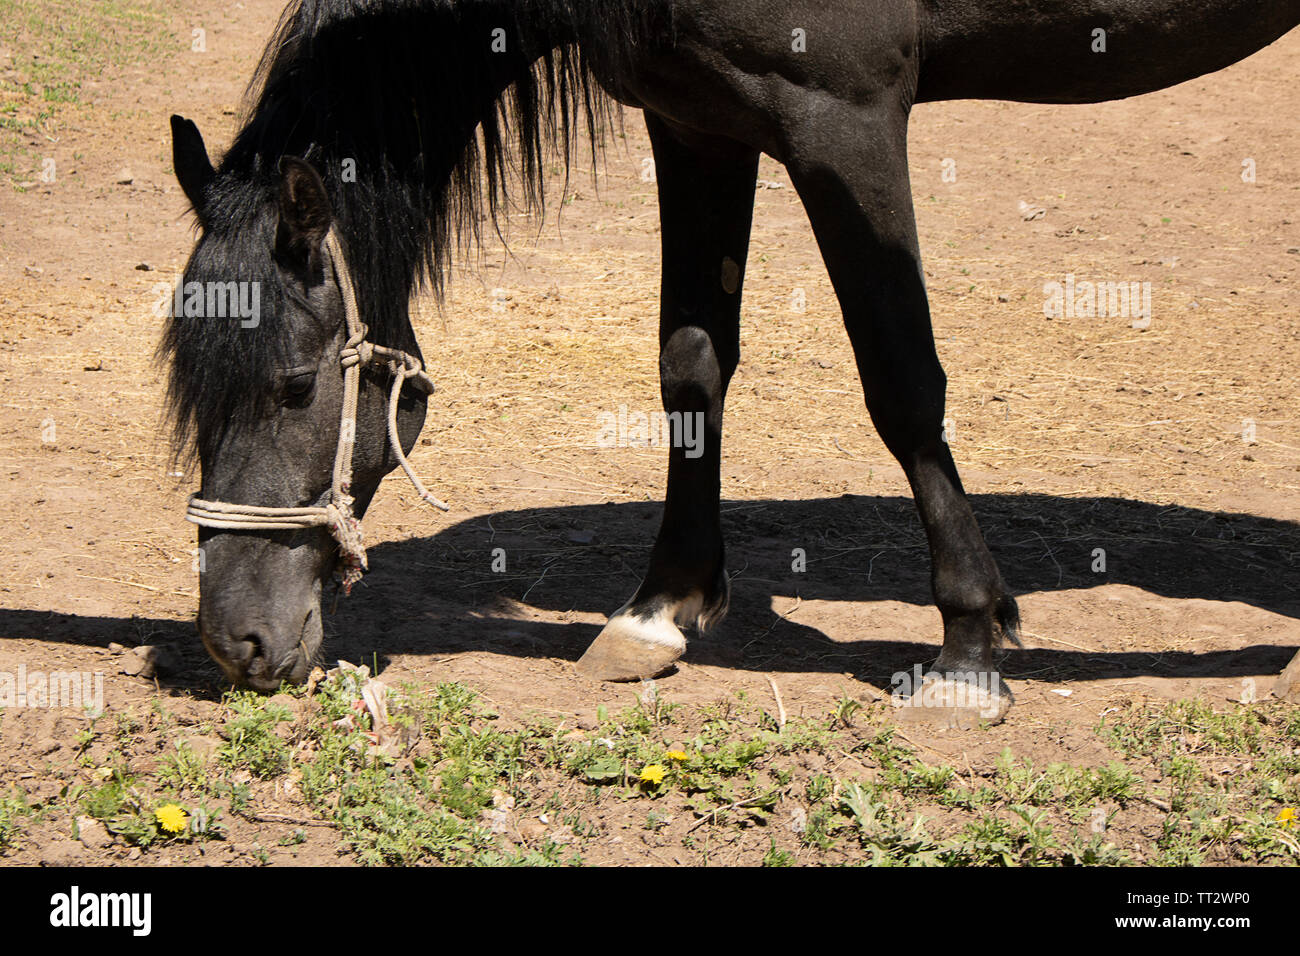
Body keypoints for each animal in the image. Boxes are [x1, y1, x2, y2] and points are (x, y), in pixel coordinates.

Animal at [163, 0, 1300, 712]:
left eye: (295, 385)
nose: (235, 642)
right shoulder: (698, 119)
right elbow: (690, 361)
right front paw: (659, 609)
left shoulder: (844, 117)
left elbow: (900, 378)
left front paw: (967, 644)